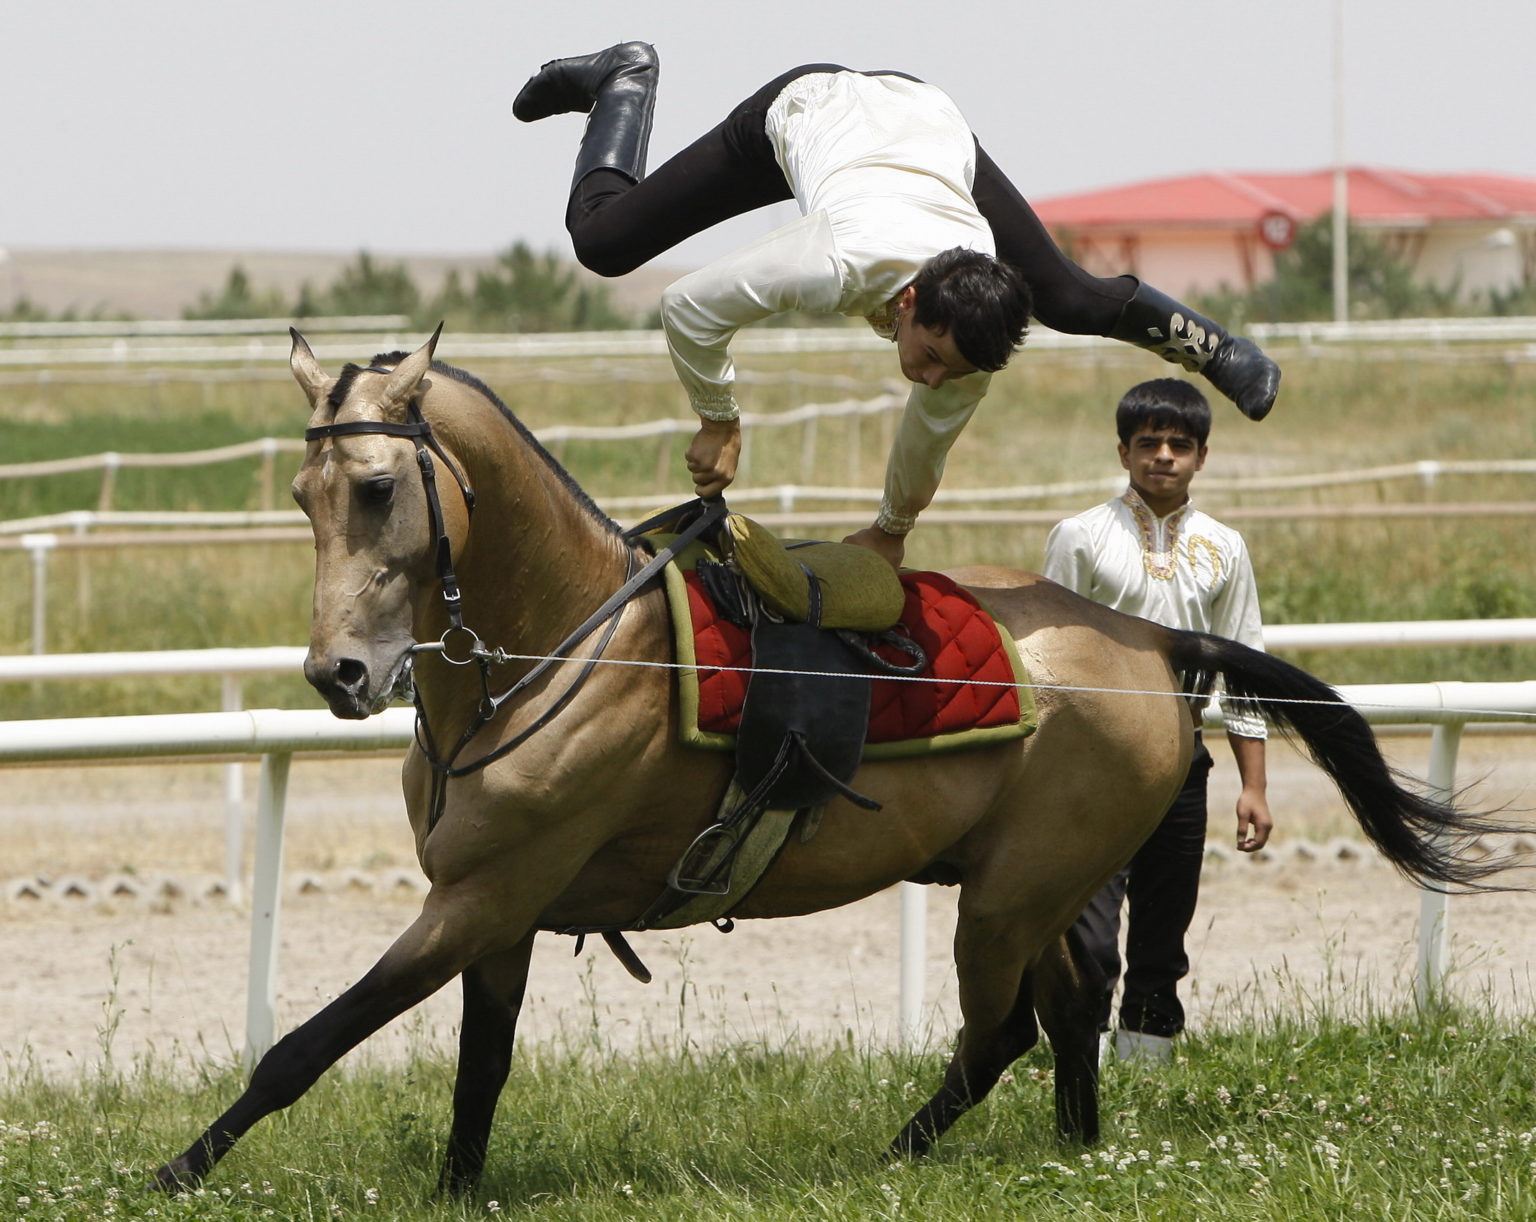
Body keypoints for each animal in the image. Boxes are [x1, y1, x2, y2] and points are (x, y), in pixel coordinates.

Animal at [153, 328, 1510, 1197]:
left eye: (380, 488)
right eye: (302, 492)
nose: (338, 674)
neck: (563, 644)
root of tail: (1153, 636)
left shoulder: (480, 896)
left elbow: (307, 1042)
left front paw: (174, 1165)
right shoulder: (498, 910)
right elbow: (477, 1069)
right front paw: (451, 1184)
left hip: (1008, 891)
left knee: (1002, 1027)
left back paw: (898, 1152)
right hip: (1035, 881)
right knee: (1070, 1003)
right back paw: (1073, 1148)